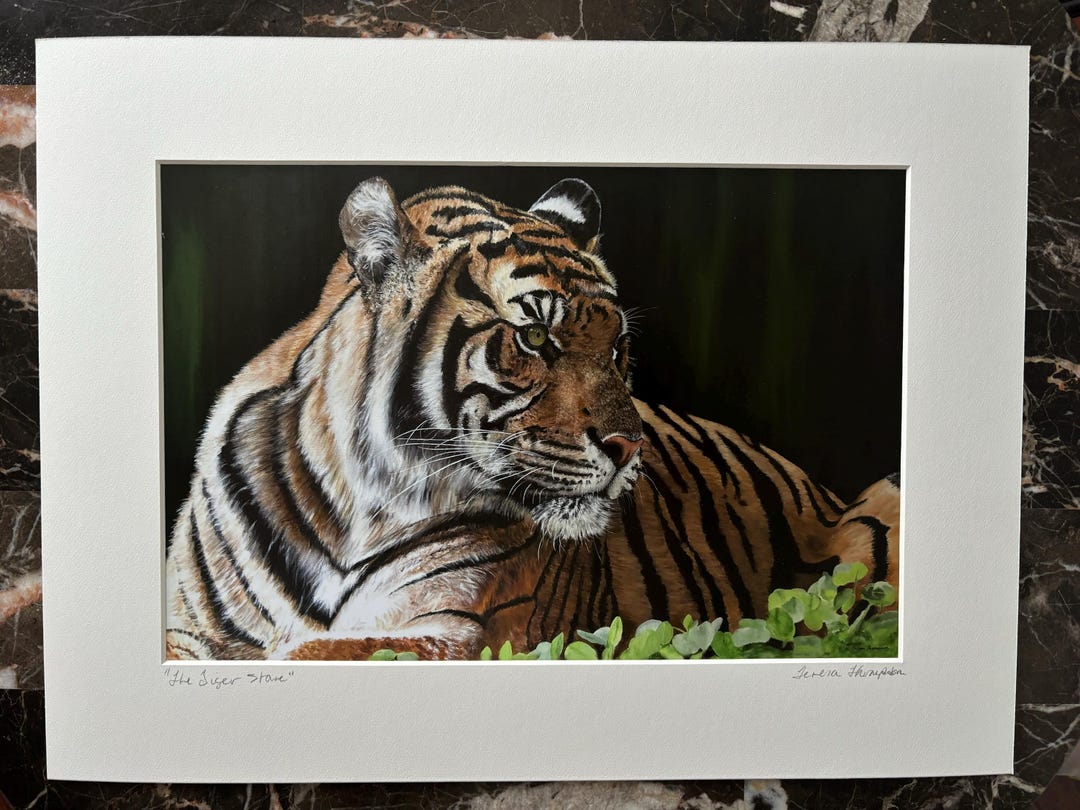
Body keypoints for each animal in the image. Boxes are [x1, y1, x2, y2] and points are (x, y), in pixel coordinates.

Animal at [164, 176, 899, 661]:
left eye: (616, 346)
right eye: (536, 338)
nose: (629, 446)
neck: (356, 504)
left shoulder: (456, 630)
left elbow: (308, 654)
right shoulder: (189, 629)